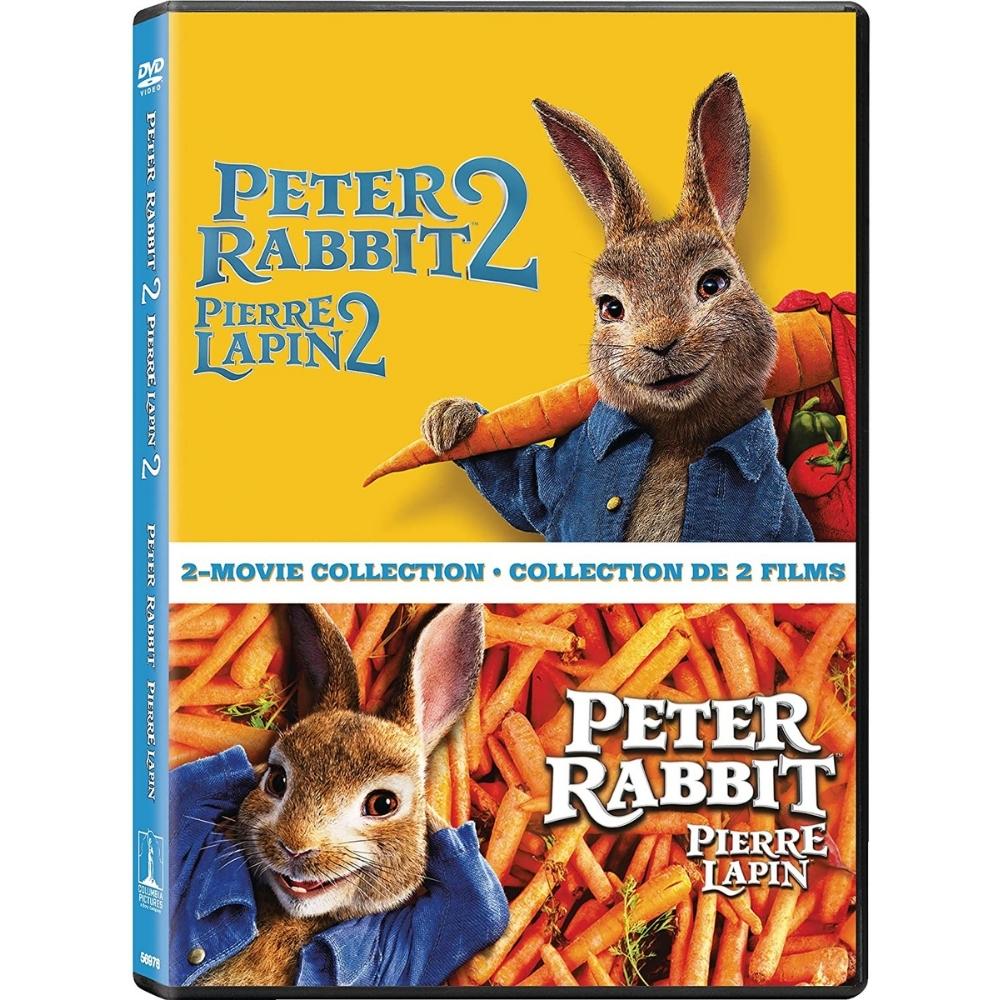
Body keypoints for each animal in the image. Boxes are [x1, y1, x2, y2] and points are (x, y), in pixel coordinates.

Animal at [422, 75, 812, 543]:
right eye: (610, 307)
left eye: (713, 284)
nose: (660, 344)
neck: (677, 433)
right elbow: (520, 482)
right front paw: (447, 420)